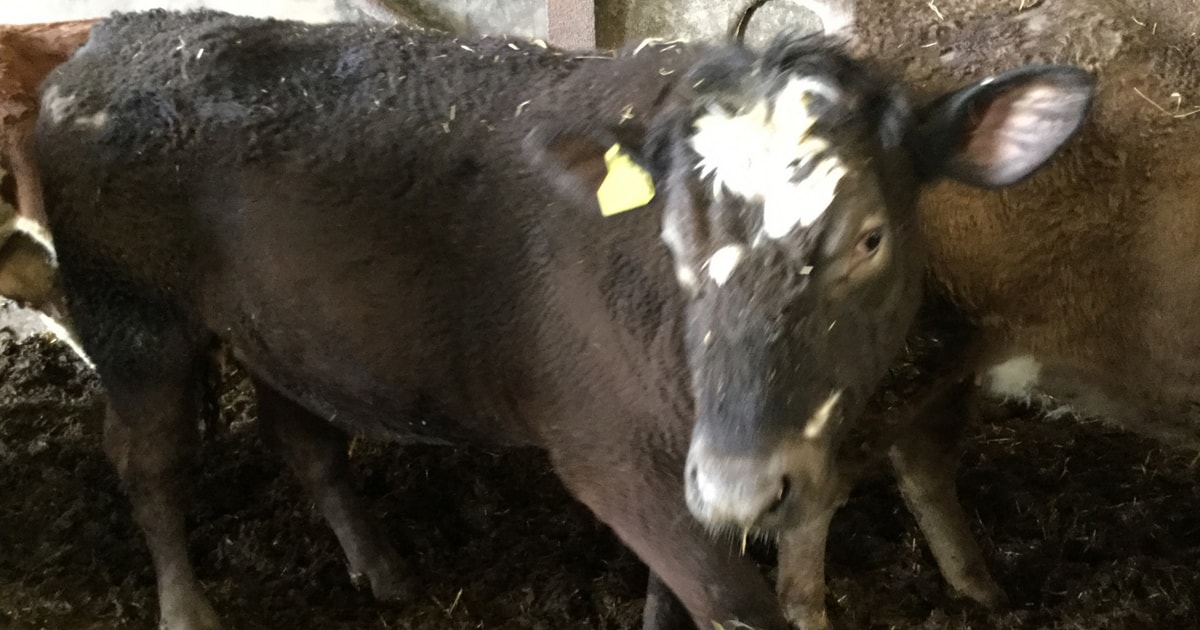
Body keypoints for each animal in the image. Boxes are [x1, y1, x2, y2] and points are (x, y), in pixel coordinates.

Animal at [33, 10, 1091, 630]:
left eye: (870, 237)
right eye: (671, 233)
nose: (747, 483)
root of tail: (113, 38)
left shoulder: (686, 467)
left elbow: (673, 593)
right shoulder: (608, 453)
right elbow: (729, 604)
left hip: (279, 326)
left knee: (306, 438)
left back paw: (383, 570)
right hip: (133, 319)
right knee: (149, 464)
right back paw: (188, 610)